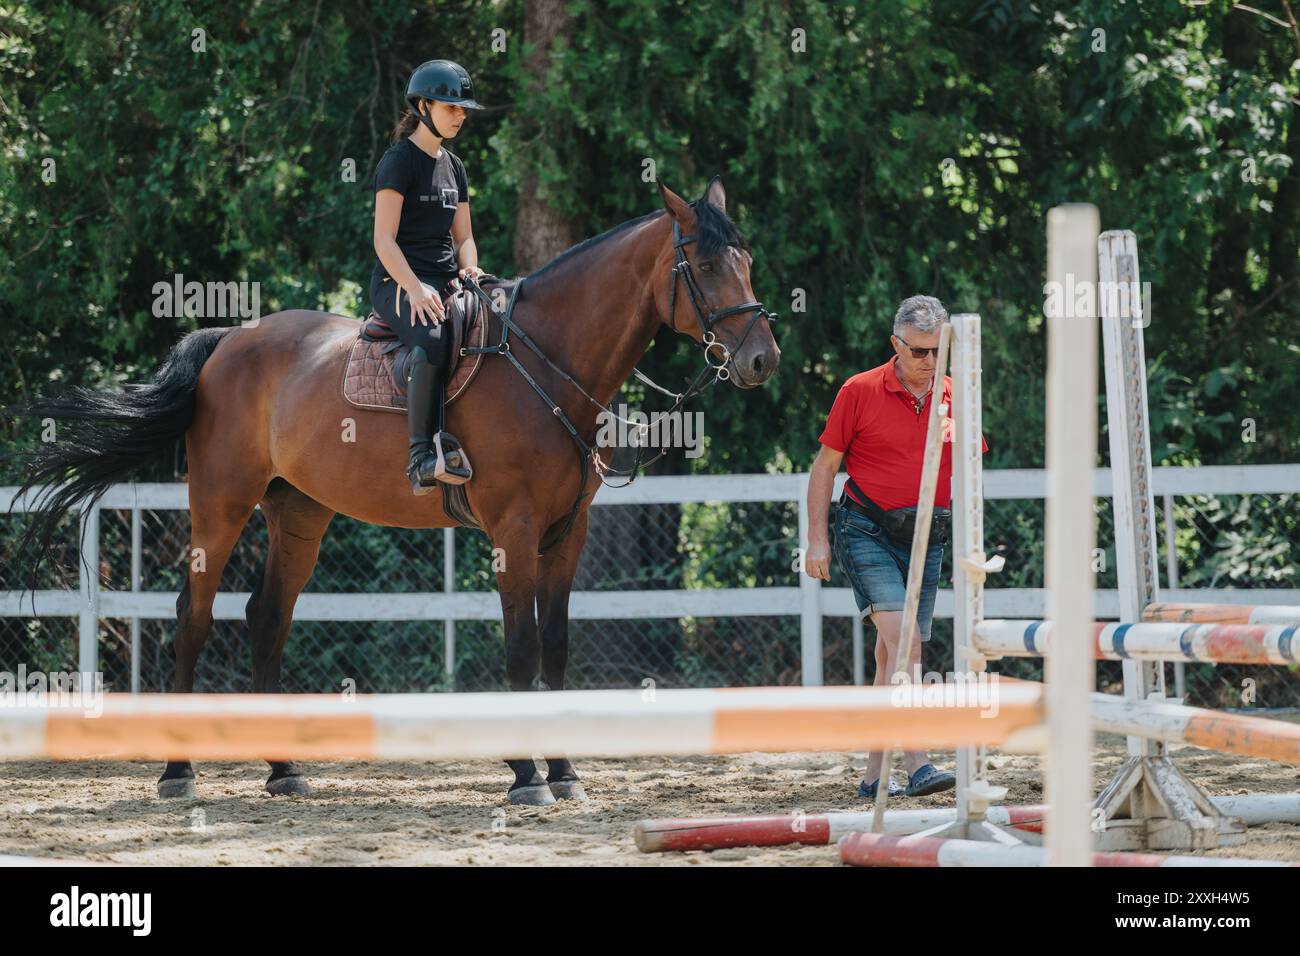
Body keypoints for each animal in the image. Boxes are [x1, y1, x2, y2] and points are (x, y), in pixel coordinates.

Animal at [6, 177, 780, 805]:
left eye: (746, 262)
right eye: (704, 266)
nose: (761, 359)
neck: (546, 362)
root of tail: (229, 341)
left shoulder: (568, 533)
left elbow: (557, 647)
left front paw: (564, 771)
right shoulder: (515, 530)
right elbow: (522, 647)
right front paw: (526, 776)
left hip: (299, 515)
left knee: (266, 617)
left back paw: (283, 769)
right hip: (218, 508)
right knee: (193, 619)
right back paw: (178, 772)